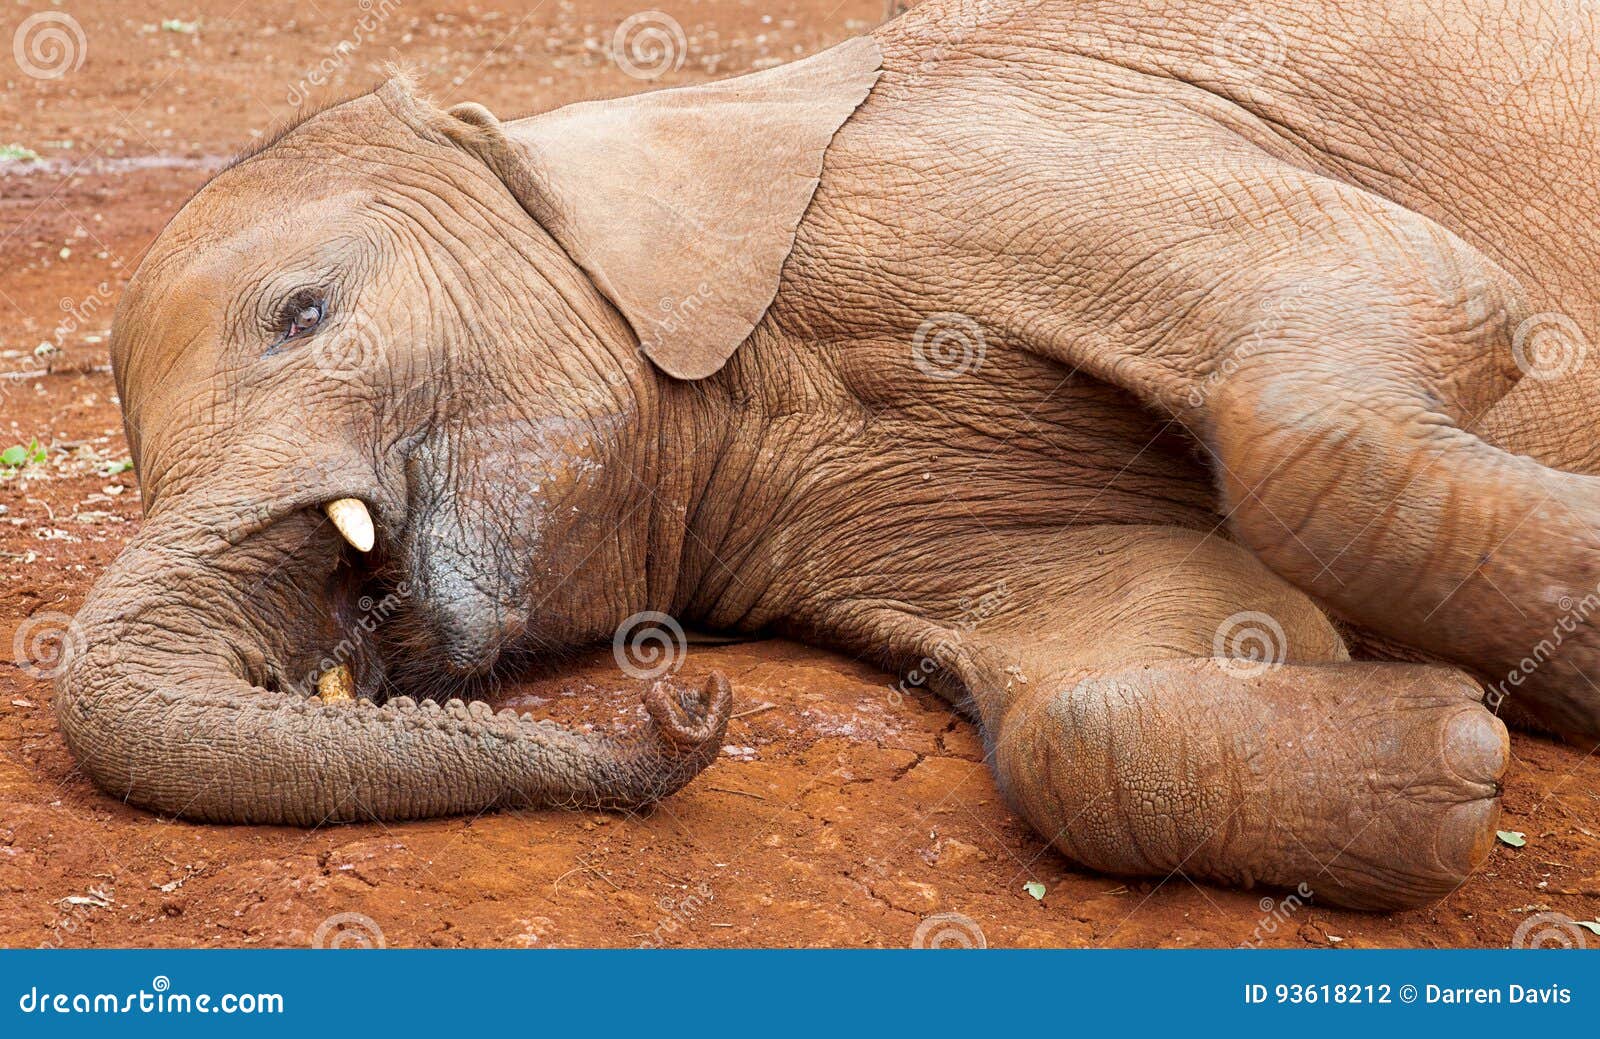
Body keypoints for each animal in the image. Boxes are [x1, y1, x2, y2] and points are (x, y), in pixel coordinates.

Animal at [55, 0, 1600, 912]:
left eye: (303, 314)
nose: (687, 708)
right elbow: (1098, 705)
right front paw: (1456, 758)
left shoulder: (993, 150)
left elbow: (1412, 305)